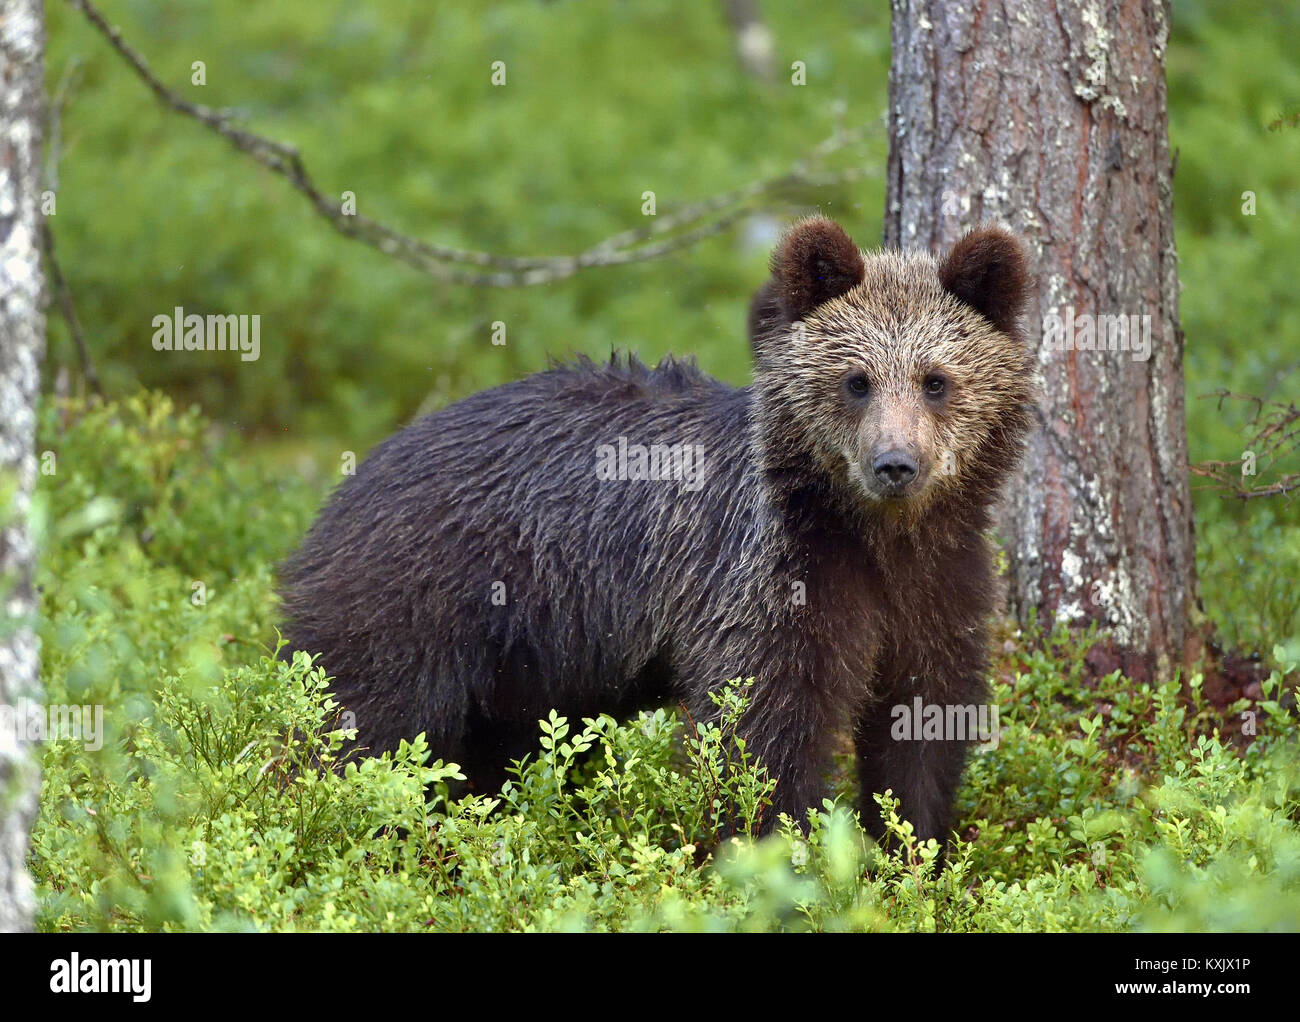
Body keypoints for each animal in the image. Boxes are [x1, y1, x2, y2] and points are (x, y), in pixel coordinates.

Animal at [278, 216, 1034, 844]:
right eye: (856, 380)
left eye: (935, 380)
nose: (895, 464)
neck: (877, 534)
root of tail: (348, 486)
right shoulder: (770, 578)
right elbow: (760, 729)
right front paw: (771, 855)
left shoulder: (939, 585)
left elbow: (924, 719)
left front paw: (913, 850)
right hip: (419, 599)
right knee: (367, 723)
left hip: (522, 659)